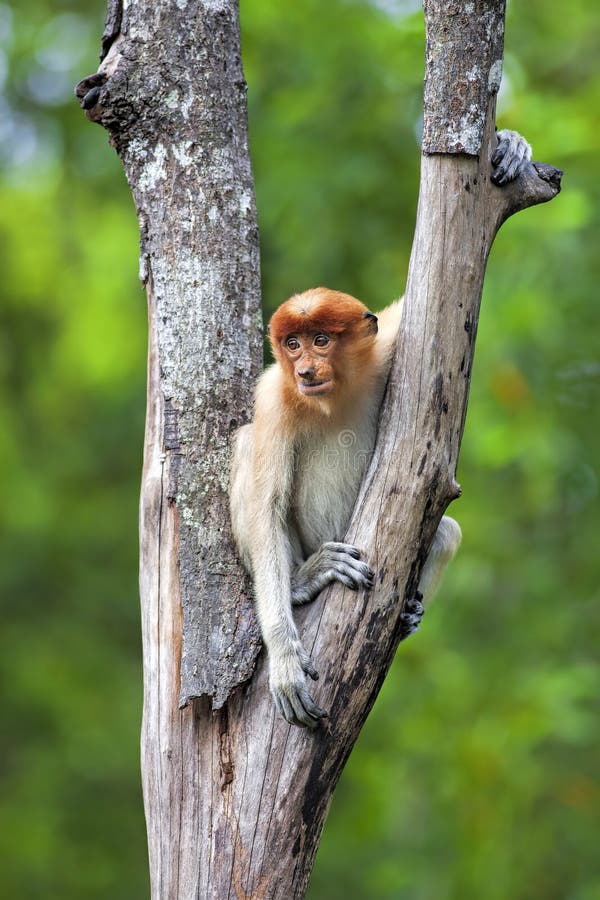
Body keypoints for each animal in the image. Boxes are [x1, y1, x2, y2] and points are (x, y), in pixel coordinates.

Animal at [229, 130, 532, 729]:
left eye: (322, 339)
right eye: (292, 344)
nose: (307, 370)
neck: (334, 399)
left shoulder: (390, 344)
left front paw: (511, 149)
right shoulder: (272, 397)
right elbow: (267, 506)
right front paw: (286, 664)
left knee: (447, 530)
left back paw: (411, 610)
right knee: (248, 448)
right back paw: (308, 579)